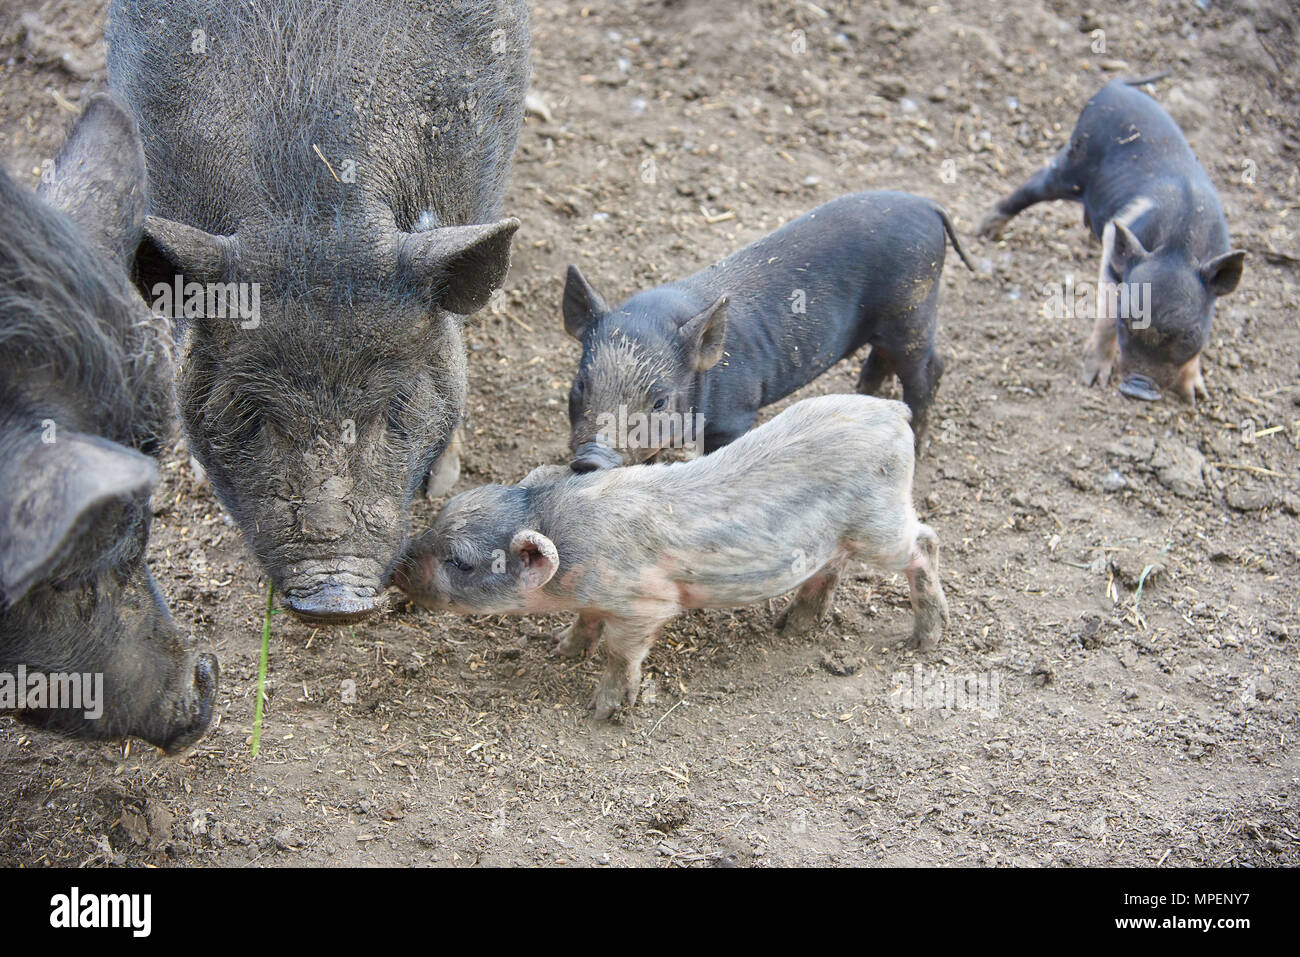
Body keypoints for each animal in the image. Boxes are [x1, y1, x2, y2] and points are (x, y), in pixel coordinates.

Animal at [395, 393, 948, 719]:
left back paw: (923, 640)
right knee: (834, 566)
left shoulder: (646, 603)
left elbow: (621, 653)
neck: (574, 544)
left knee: (926, 542)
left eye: (461, 561)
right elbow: (584, 624)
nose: (397, 565)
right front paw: (560, 650)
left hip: (881, 523)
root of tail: (892, 411)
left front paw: (603, 711)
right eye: (439, 517)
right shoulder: (597, 598)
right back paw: (791, 628)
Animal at [562, 191, 974, 471]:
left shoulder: (737, 413)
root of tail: (928, 205)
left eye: (660, 401)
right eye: (579, 385)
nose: (590, 459)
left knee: (929, 370)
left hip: (914, 309)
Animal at [977, 77, 1246, 403]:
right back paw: (985, 230)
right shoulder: (1112, 259)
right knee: (1031, 187)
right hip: (1070, 164)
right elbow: (1104, 316)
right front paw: (1093, 380)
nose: (1138, 388)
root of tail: (1115, 86)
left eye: (1189, 336)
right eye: (1125, 323)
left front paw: (1197, 397)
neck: (1180, 244)